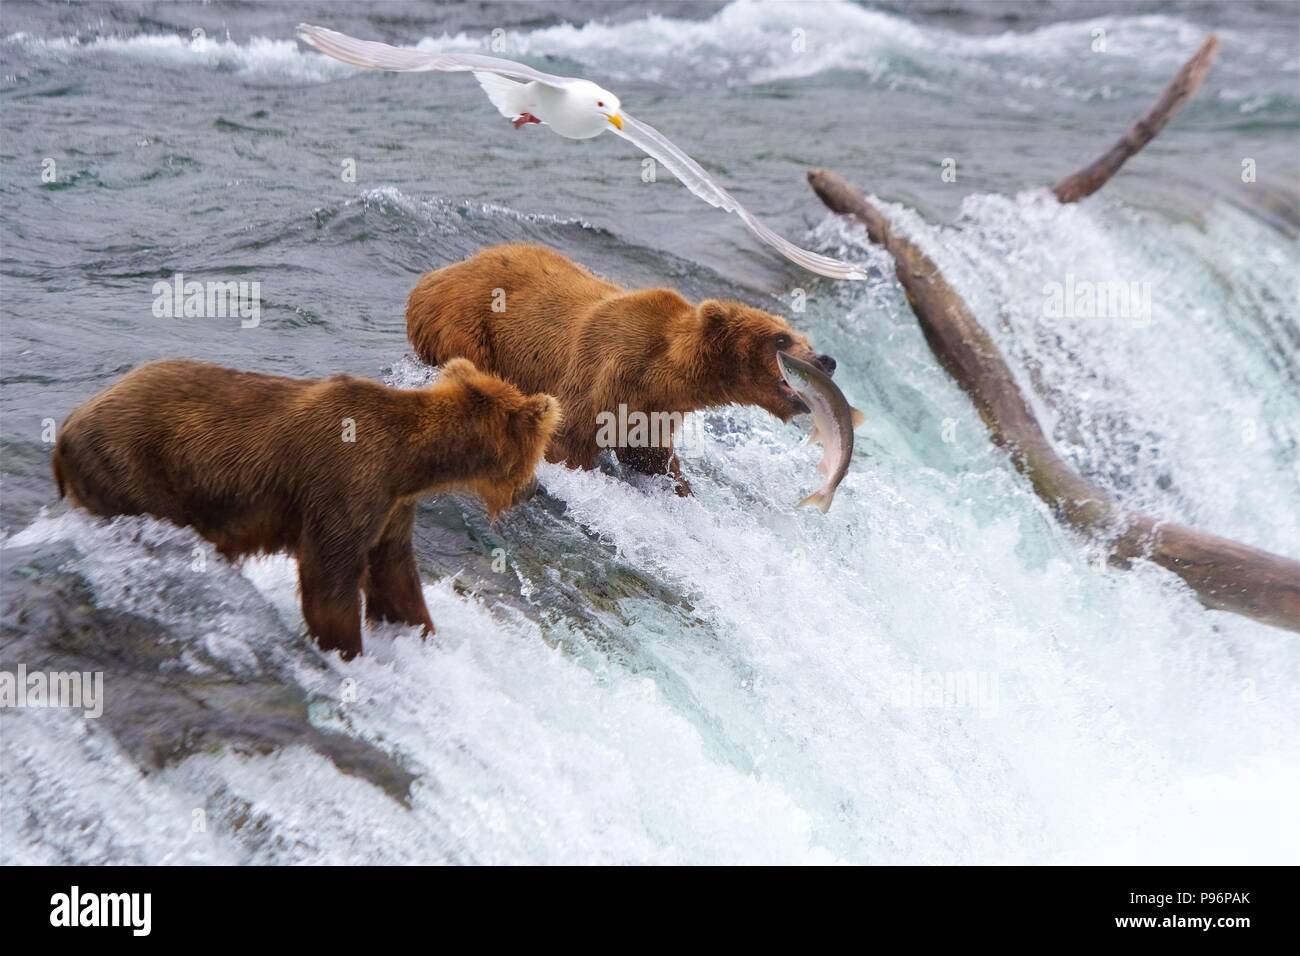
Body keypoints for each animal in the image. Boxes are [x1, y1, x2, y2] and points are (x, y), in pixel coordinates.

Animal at [51, 357, 561, 659]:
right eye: (539, 452)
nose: (534, 489)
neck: (409, 461)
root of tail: (66, 427)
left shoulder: (391, 508)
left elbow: (396, 576)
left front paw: (419, 632)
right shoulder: (344, 485)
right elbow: (329, 578)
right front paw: (346, 651)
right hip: (133, 468)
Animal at [405, 243, 837, 495]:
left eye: (803, 339)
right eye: (781, 340)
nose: (826, 361)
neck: (663, 372)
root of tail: (436, 273)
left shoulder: (652, 410)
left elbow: (650, 456)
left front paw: (679, 485)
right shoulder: (604, 375)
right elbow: (571, 441)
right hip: (467, 326)